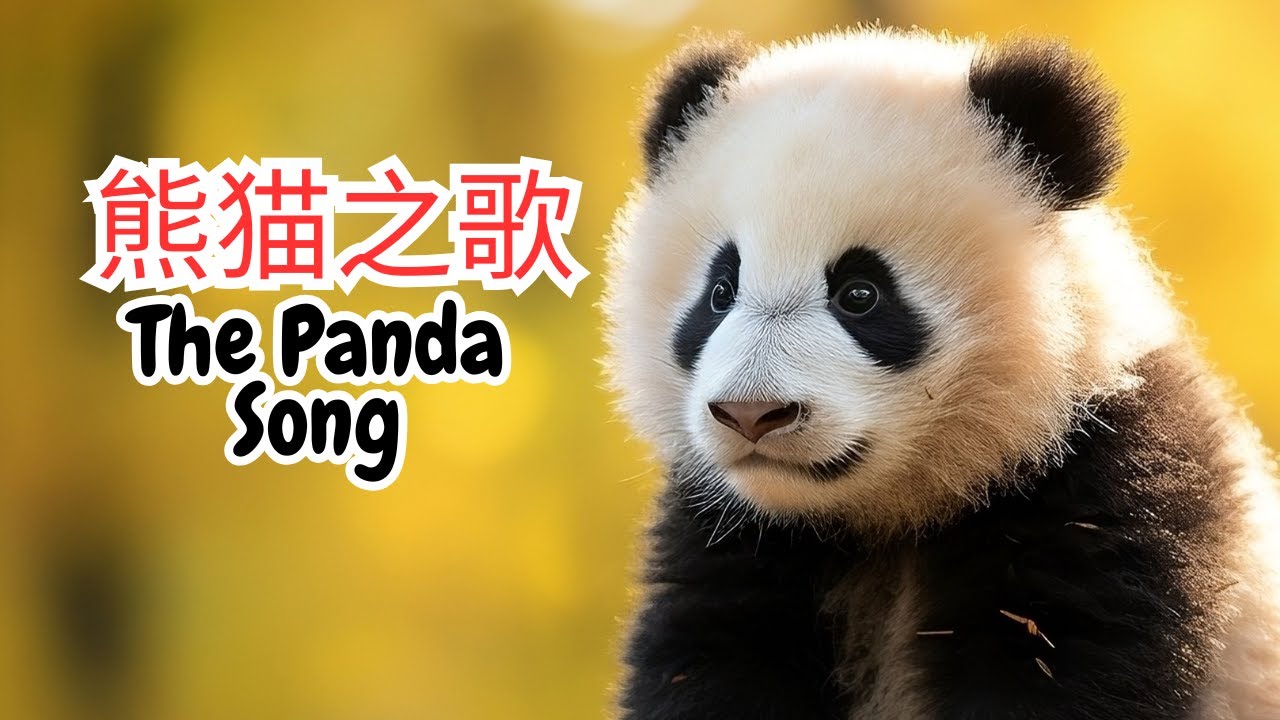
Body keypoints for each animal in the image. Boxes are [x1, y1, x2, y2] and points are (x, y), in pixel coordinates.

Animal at [602, 27, 1280, 720]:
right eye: (720, 292)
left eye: (861, 294)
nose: (752, 413)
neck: (892, 512)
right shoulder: (733, 532)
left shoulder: (1106, 480)